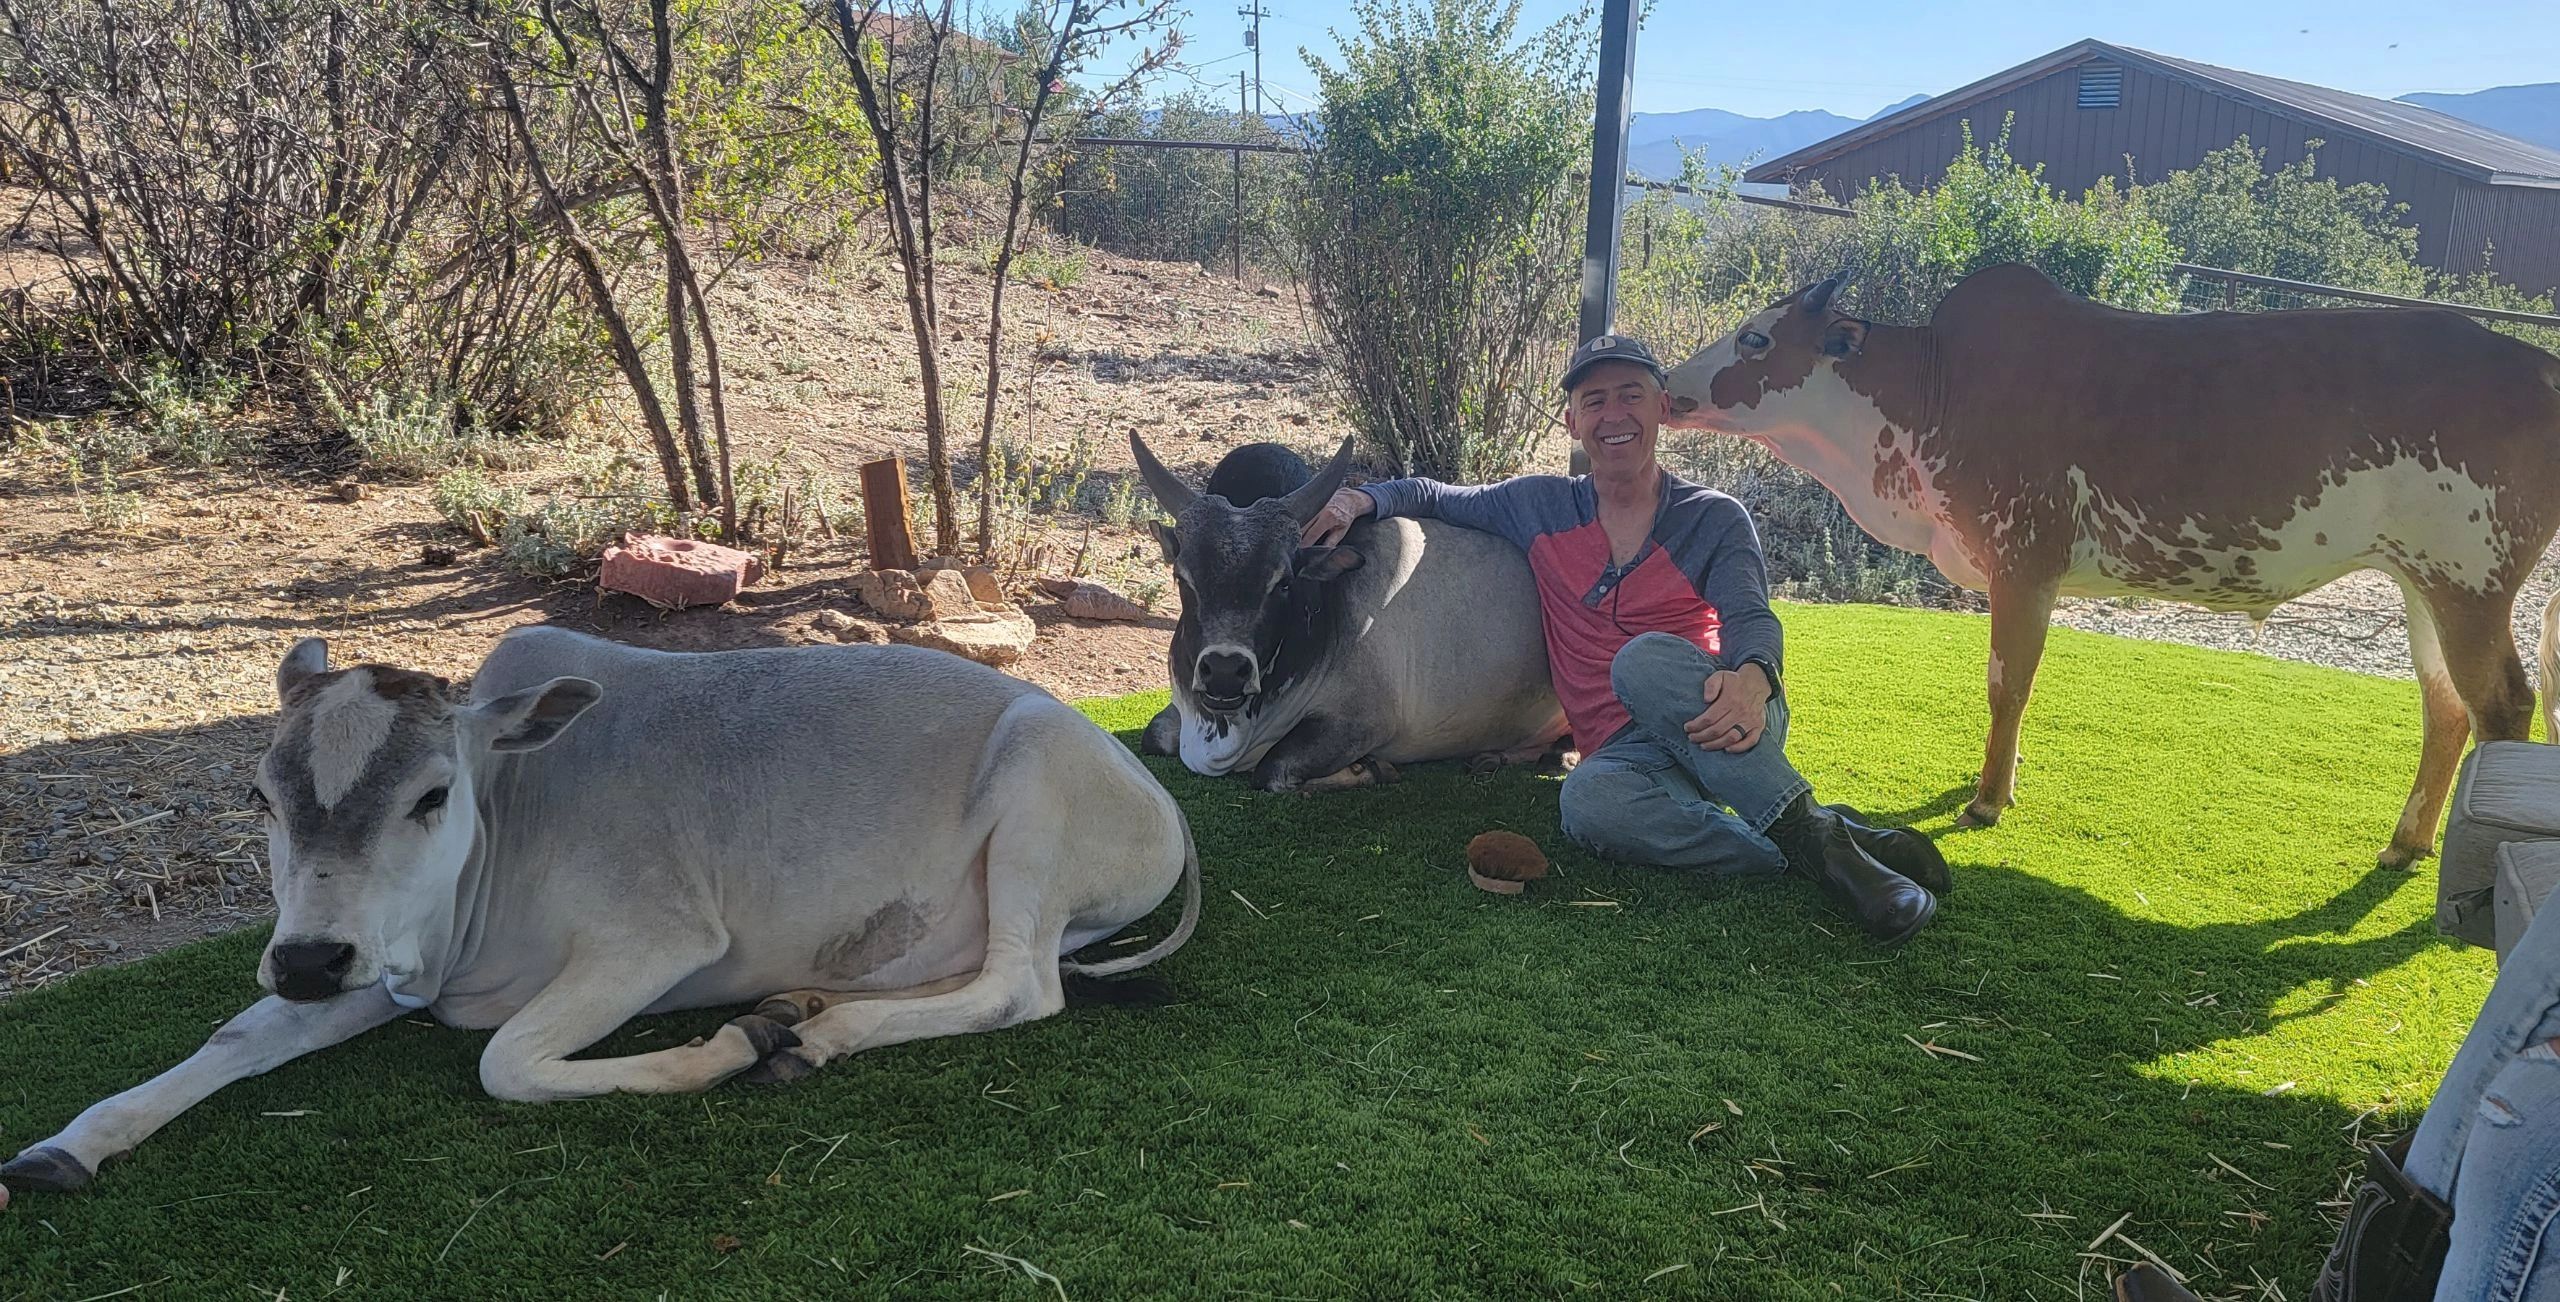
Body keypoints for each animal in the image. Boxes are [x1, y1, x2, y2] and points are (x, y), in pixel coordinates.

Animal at [0, 627, 1199, 1194]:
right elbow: (232, 1040)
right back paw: (807, 1003)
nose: (303, 960)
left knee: (1020, 989)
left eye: (433, 796)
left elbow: (506, 1064)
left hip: (1034, 806)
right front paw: (67, 1146)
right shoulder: (388, 967)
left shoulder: (656, 942)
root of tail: (1158, 800)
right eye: (260, 798)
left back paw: (810, 1036)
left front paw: (726, 1049)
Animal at [1128, 433, 1566, 791]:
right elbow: (1154, 736)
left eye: (1283, 583)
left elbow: (1271, 770)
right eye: (1183, 577)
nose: (1223, 671)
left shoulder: (1361, 723)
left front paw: (1369, 770)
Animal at [1662, 263, 2560, 868]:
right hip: (2419, 581)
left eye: (1756, 337)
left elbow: (2007, 684)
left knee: (2504, 705)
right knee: (2445, 707)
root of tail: (2536, 363)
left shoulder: (2025, 559)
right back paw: (2404, 844)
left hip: (2470, 578)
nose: (1670, 385)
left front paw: (1987, 800)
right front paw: (2005, 776)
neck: (1923, 400)